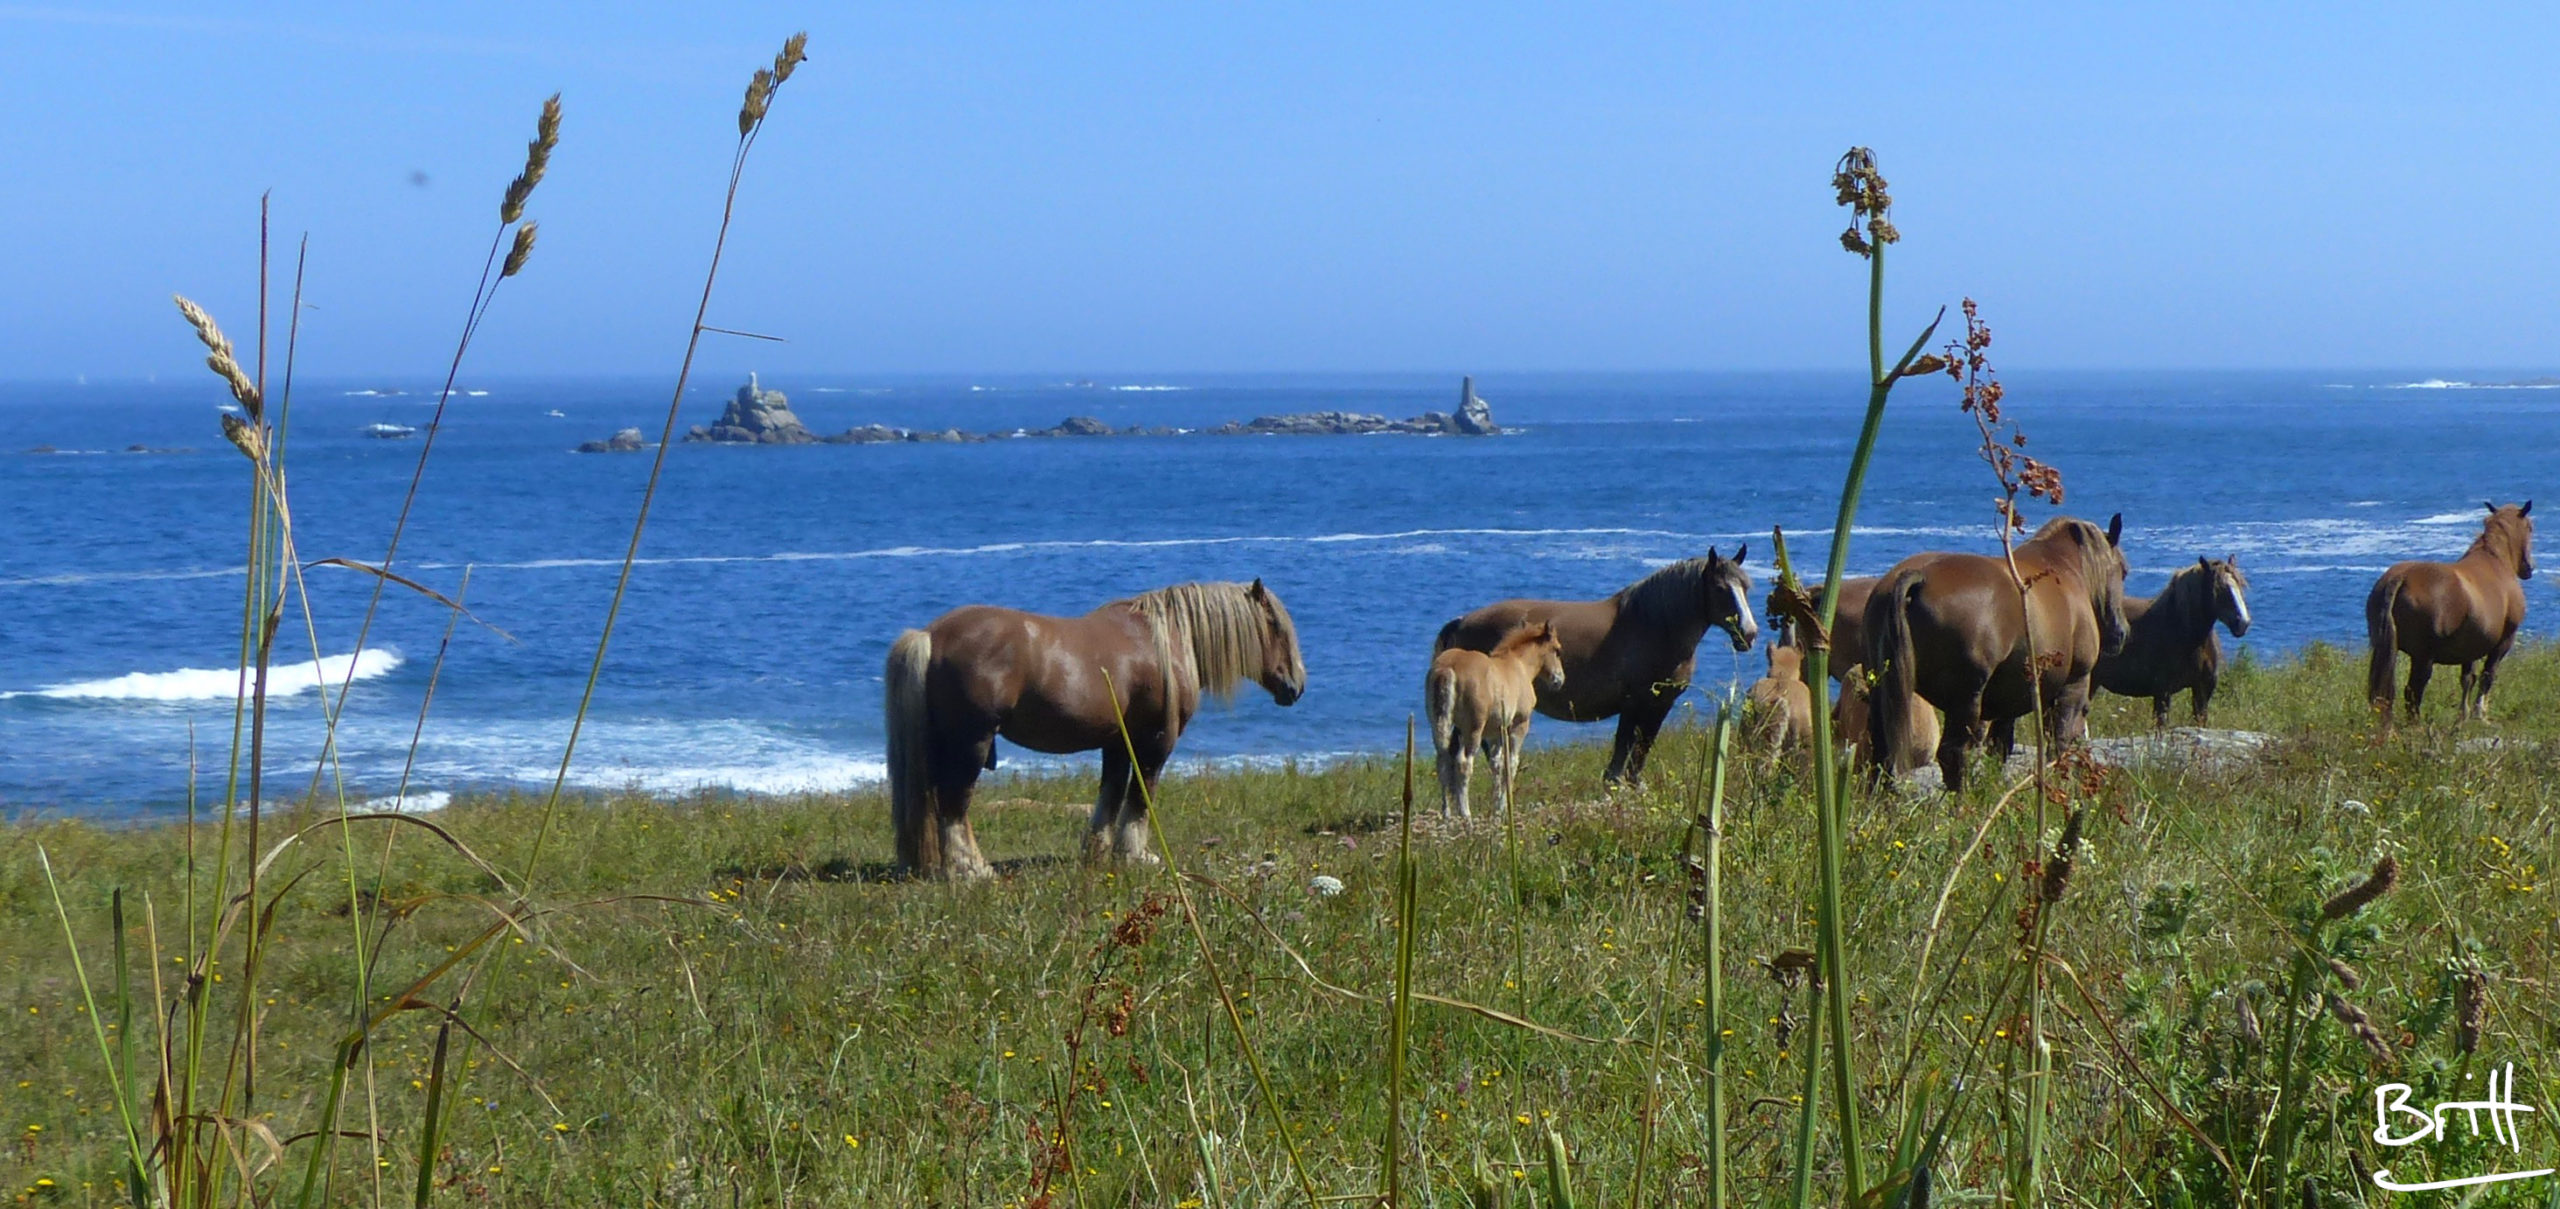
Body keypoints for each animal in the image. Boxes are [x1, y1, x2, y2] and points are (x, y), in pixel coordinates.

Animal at [884, 579, 1307, 880]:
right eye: (1275, 626)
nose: (1296, 686)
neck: (1163, 641)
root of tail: (931, 635)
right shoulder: (1154, 743)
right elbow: (1140, 797)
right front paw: (1136, 853)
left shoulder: (1117, 743)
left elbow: (1111, 795)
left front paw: (1097, 851)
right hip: (972, 741)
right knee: (955, 803)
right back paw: (971, 869)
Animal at [1424, 621, 1566, 818]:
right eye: (1557, 650)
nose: (1559, 680)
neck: (1519, 665)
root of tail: (1448, 668)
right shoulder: (1518, 724)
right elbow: (1512, 762)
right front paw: (1504, 806)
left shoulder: (1495, 731)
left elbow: (1496, 764)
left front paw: (1496, 806)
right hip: (1473, 729)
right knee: (1464, 764)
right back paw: (1466, 814)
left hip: (1442, 724)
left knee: (1443, 761)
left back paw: (1447, 814)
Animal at [1436, 547, 1758, 787]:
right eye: (1721, 589)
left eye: (1746, 586)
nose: (1749, 633)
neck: (1655, 625)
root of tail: (1462, 621)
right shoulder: (1635, 704)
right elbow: (1622, 758)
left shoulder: (1659, 705)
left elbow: (1639, 754)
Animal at [1865, 515, 2128, 792]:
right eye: (2123, 570)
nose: (2121, 632)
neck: (2063, 567)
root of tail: (1919, 577)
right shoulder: (2073, 684)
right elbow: (2059, 742)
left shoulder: (2010, 700)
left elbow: (2001, 746)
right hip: (1965, 697)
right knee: (1953, 753)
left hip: (1882, 690)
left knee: (1882, 750)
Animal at [2366, 502, 2533, 729]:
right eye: (2530, 528)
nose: (2529, 568)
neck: (2495, 561)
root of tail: (2401, 577)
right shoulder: (2503, 641)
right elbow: (2487, 676)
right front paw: (2480, 715)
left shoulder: (2471, 646)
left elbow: (2468, 678)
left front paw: (2463, 716)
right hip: (2423, 657)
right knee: (2413, 691)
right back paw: (2415, 727)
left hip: (2383, 648)